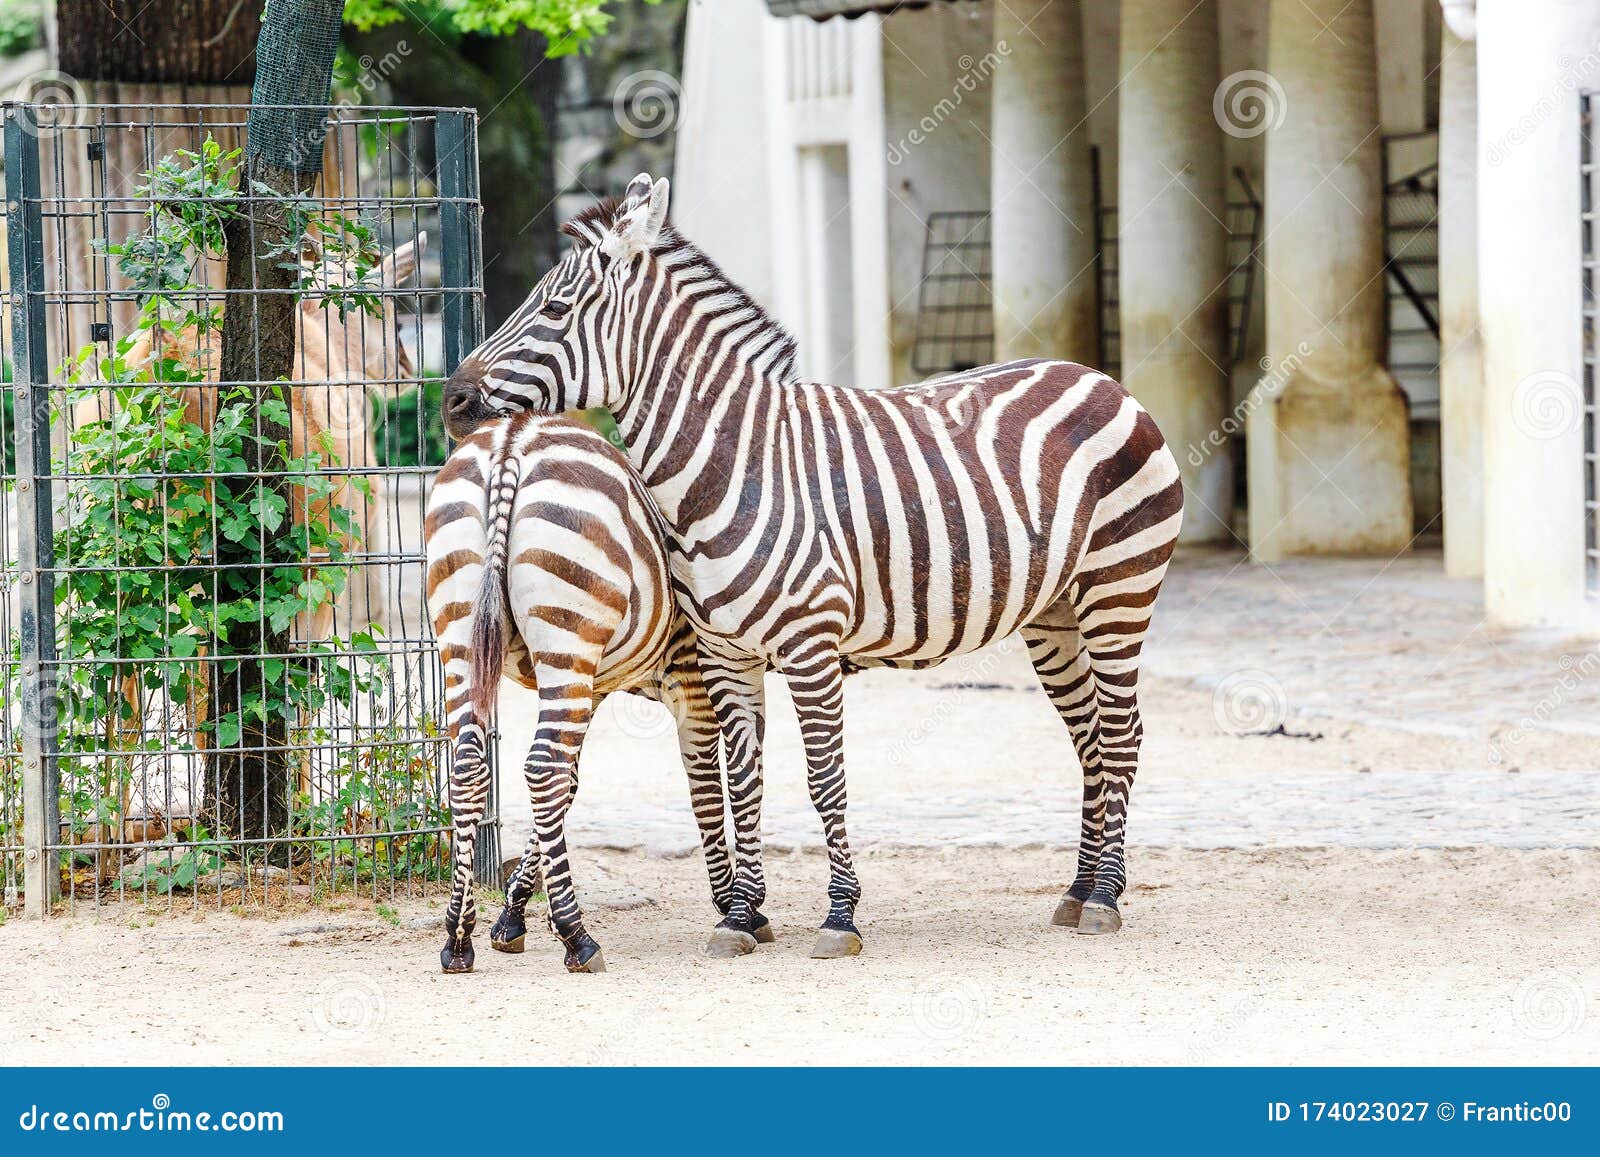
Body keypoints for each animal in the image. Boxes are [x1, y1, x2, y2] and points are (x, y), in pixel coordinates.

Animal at [425, 411, 772, 973]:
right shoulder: (690, 679)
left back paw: (459, 936)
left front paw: (513, 913)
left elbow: (570, 785)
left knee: (472, 770)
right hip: (567, 633)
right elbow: (705, 785)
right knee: (541, 767)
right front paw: (732, 906)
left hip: (463, 635)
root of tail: (512, 442)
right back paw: (578, 938)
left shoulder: (593, 684)